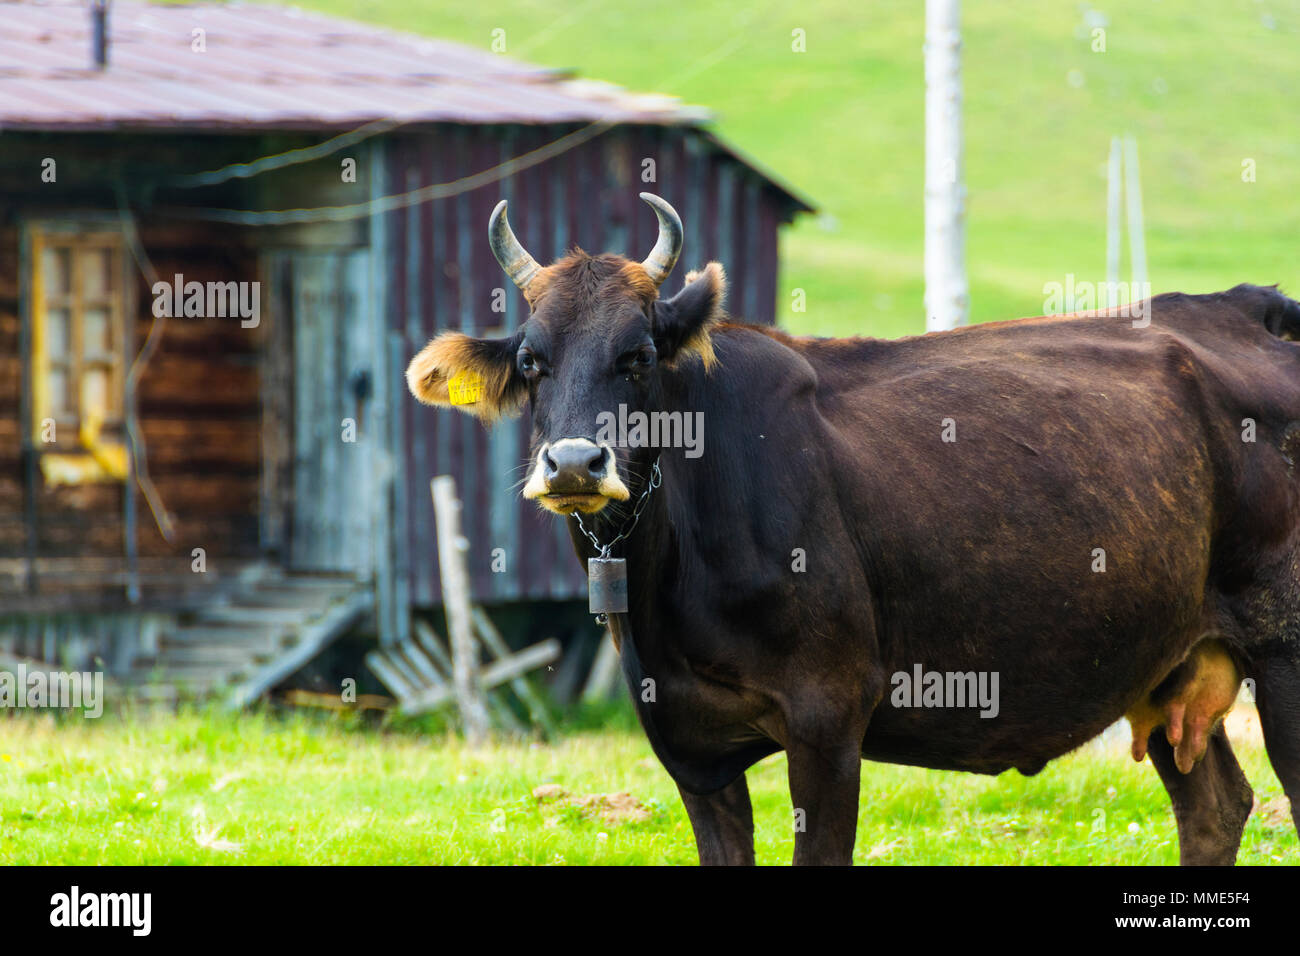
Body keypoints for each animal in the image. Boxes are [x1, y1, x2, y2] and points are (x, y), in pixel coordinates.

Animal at [407, 193, 1300, 865]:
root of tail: (1239, 306)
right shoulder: (687, 744)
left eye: (639, 357)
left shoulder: (828, 715)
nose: (573, 464)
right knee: (1216, 805)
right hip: (1171, 660)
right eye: (531, 361)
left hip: (1282, 648)